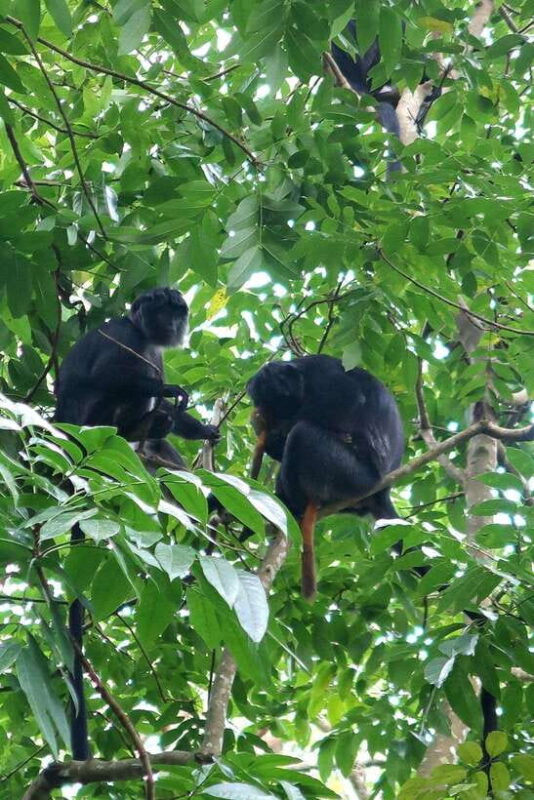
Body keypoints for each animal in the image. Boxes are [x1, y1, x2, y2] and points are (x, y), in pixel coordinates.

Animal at [54, 287, 219, 760]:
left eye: (177, 312)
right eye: (162, 309)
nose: (172, 323)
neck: (144, 334)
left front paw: (204, 430)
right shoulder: (124, 336)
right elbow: (112, 376)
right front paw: (168, 389)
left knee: (160, 439)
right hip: (99, 430)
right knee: (129, 398)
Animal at [247, 355, 404, 599]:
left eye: (280, 400)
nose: (275, 416)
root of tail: (381, 491)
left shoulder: (320, 370)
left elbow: (347, 396)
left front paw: (278, 432)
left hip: (351, 476)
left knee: (302, 433)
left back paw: (293, 506)